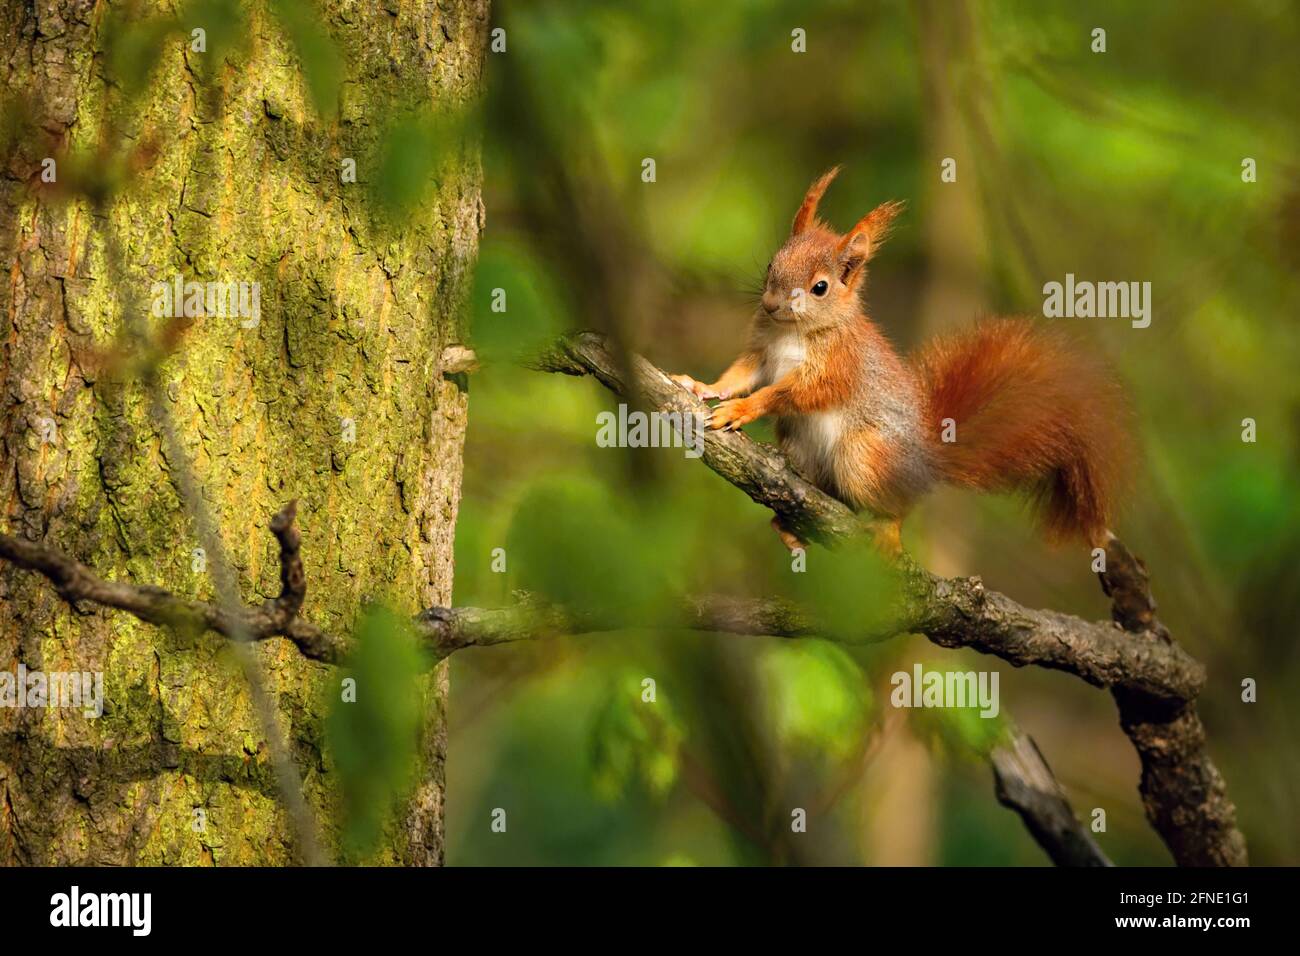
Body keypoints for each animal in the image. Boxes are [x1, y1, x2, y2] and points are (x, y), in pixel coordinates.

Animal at [670, 167, 1130, 554]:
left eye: (820, 287)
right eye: (771, 264)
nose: (770, 304)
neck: (793, 333)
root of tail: (926, 462)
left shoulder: (840, 366)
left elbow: (794, 391)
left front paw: (744, 408)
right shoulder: (761, 350)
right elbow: (739, 374)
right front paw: (702, 386)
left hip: (863, 455)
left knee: (895, 504)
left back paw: (887, 529)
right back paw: (787, 526)